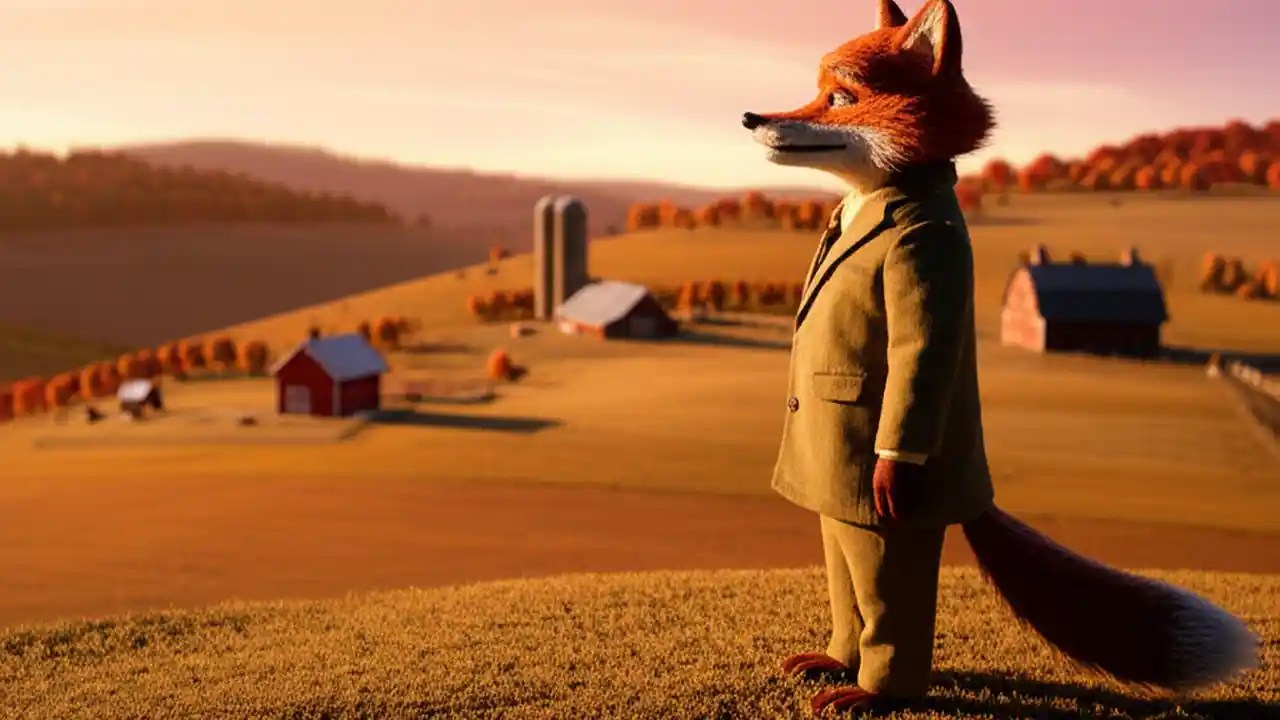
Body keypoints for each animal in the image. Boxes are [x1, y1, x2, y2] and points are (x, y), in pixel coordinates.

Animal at [743, 0, 1259, 715]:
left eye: (840, 98)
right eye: (814, 92)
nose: (751, 118)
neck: (879, 197)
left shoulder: (924, 263)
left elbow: (917, 358)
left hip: (884, 494)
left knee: (883, 578)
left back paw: (872, 692)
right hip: (837, 506)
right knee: (844, 563)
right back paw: (835, 662)